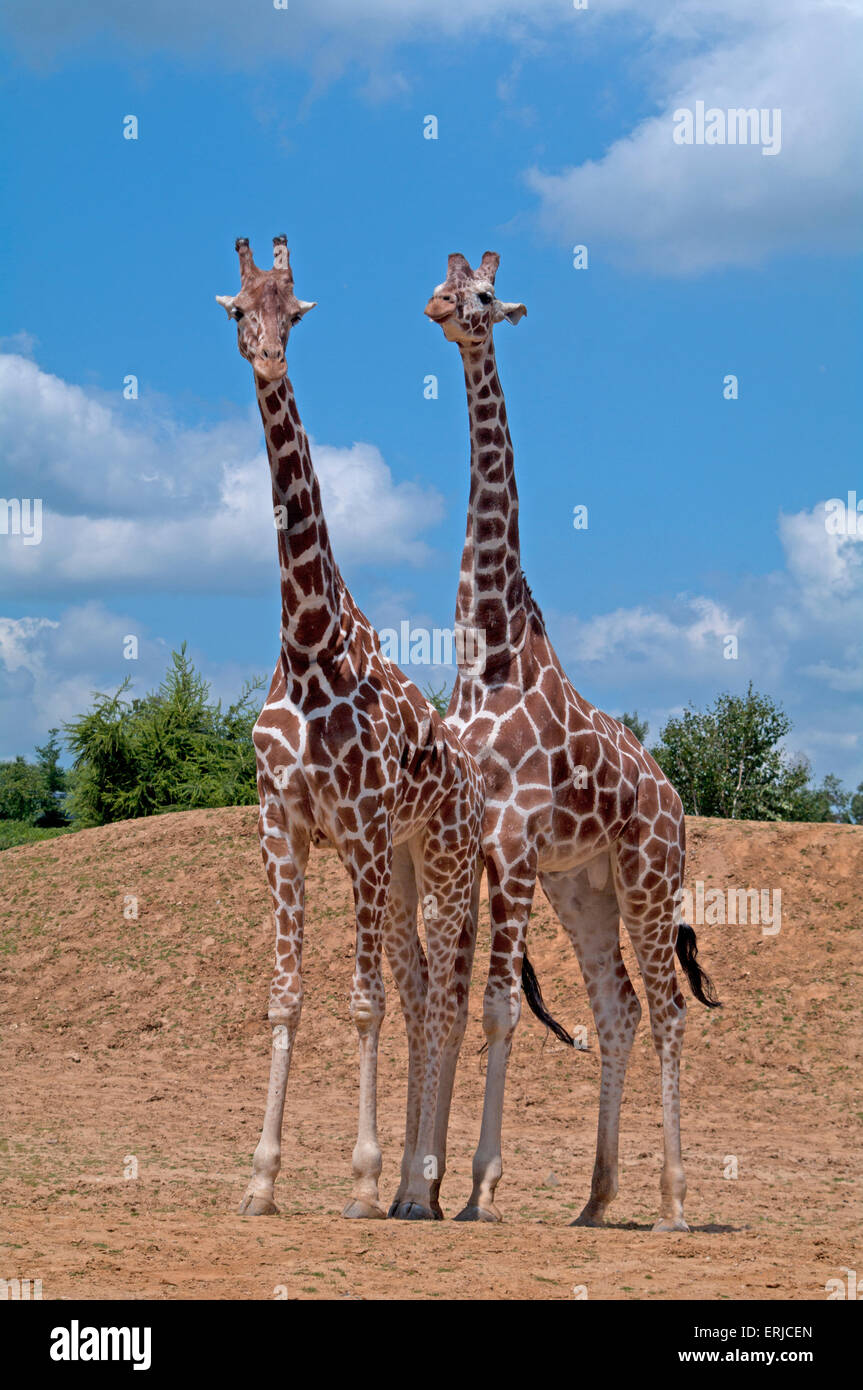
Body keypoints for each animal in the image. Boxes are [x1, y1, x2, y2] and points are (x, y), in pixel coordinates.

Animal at [216, 236, 484, 1221]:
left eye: (293, 312)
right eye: (238, 310)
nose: (266, 358)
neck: (308, 646)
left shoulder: (362, 829)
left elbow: (362, 1001)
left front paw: (363, 1180)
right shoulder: (283, 831)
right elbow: (287, 997)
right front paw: (259, 1180)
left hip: (440, 861)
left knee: (441, 994)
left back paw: (419, 1185)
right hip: (403, 870)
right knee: (419, 989)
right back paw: (418, 1185)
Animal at [424, 251, 720, 1232]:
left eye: (485, 297)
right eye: (446, 281)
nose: (441, 307)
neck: (486, 654)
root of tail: (673, 797)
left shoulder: (511, 841)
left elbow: (498, 1010)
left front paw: (476, 1189)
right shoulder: (478, 846)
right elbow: (454, 997)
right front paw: (429, 1182)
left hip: (646, 874)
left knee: (667, 1009)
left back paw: (671, 1202)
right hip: (583, 886)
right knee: (619, 1005)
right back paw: (595, 1199)